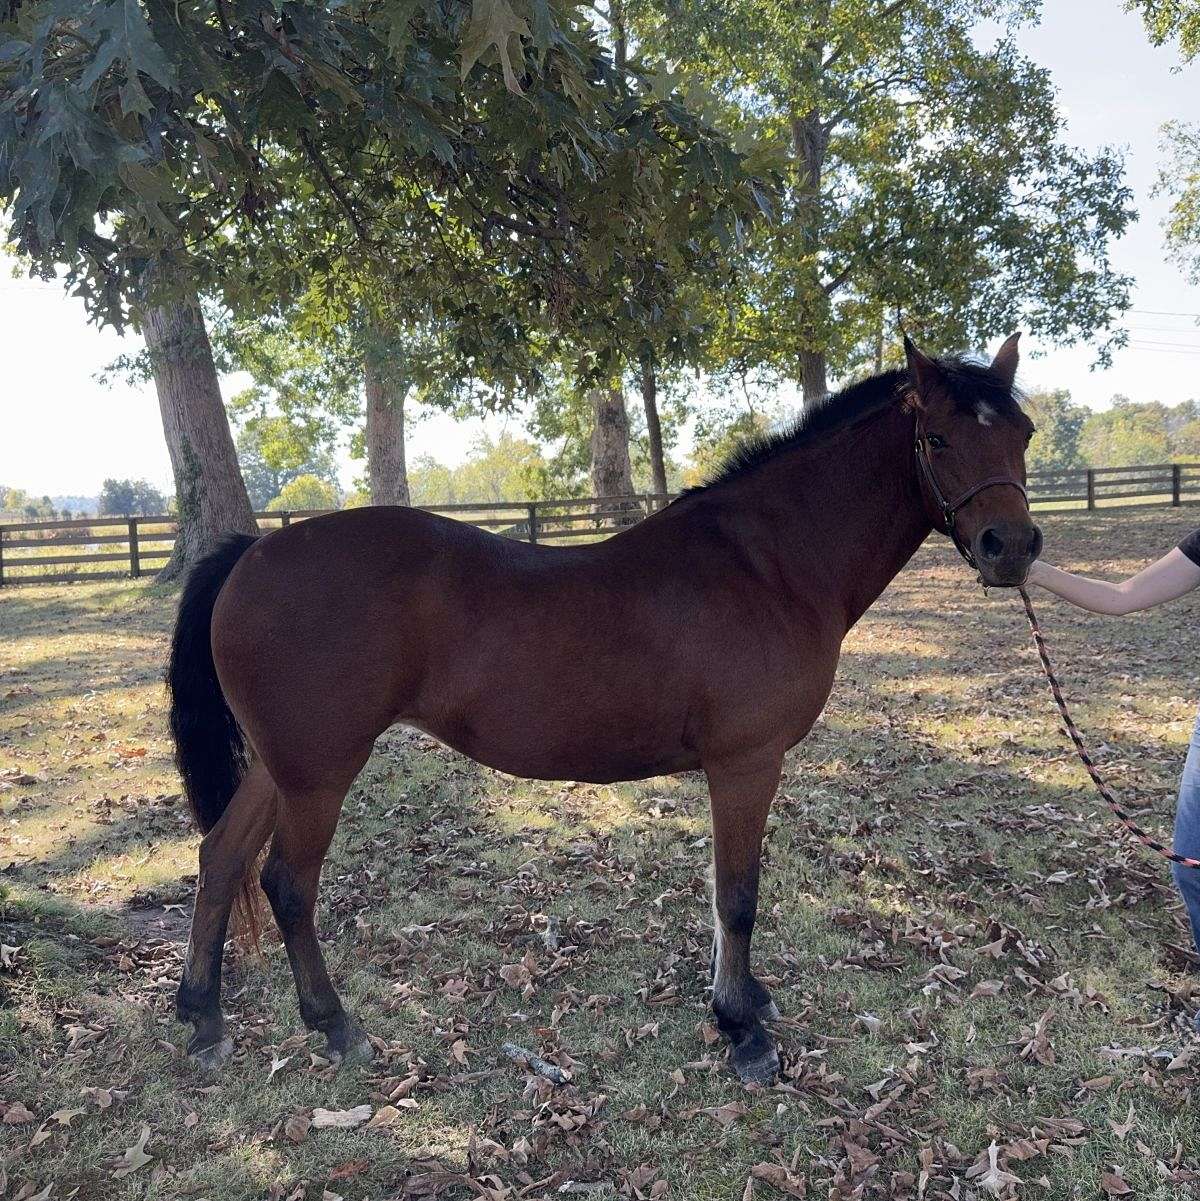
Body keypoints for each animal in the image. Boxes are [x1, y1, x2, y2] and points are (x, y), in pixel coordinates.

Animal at [168, 335, 1039, 1083]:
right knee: (287, 883)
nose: (1013, 548)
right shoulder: (745, 763)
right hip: (319, 773)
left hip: (281, 766)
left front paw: (744, 1001)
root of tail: (253, 550)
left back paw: (204, 1017)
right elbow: (738, 894)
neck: (769, 563)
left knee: (221, 858)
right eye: (938, 440)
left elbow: (721, 894)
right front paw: (741, 1028)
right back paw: (334, 1024)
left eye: (1023, 433)